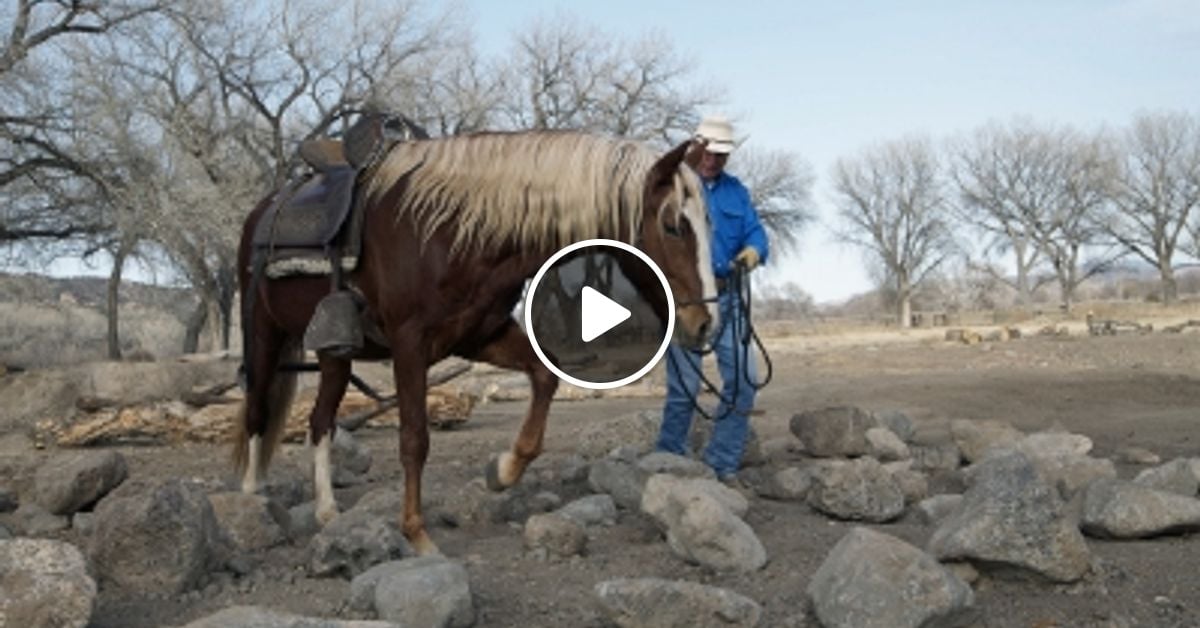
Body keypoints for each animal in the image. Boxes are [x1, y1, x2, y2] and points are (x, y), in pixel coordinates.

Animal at [233, 130, 718, 555]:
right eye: (673, 226)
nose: (705, 323)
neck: (447, 232)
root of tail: (263, 209)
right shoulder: (410, 346)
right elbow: (415, 439)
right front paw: (417, 535)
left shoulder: (478, 336)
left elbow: (545, 376)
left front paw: (503, 471)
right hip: (263, 333)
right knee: (258, 409)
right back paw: (254, 496)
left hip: (335, 352)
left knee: (320, 420)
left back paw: (327, 511)